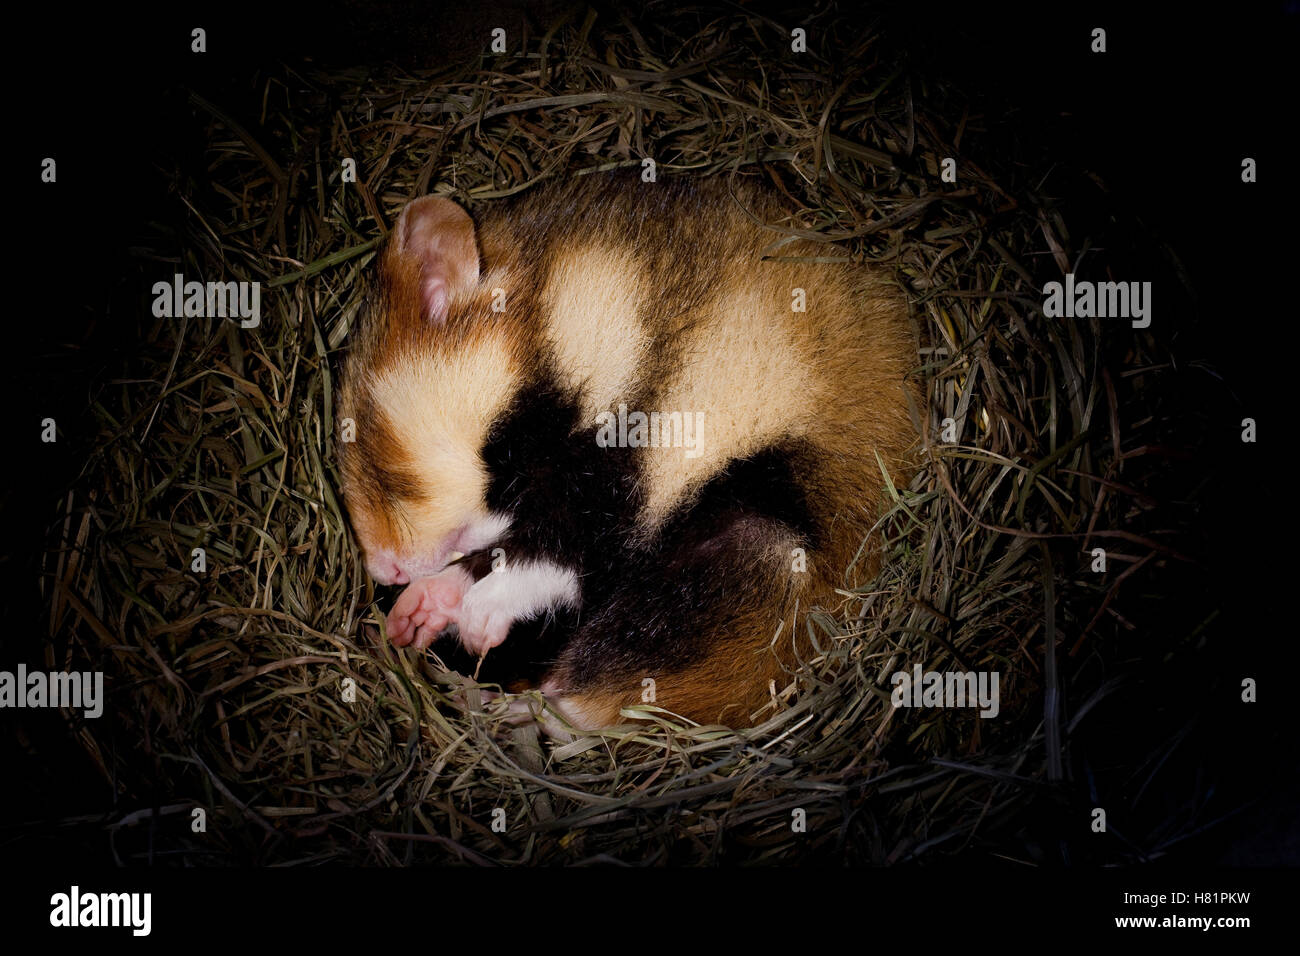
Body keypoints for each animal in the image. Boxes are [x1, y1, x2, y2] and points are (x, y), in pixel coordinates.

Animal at [337, 172, 919, 730]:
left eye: (381, 459)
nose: (382, 576)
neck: (551, 324)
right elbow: (508, 557)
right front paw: (411, 620)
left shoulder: (617, 477)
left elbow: (553, 554)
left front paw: (476, 627)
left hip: (743, 564)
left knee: (582, 706)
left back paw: (486, 697)